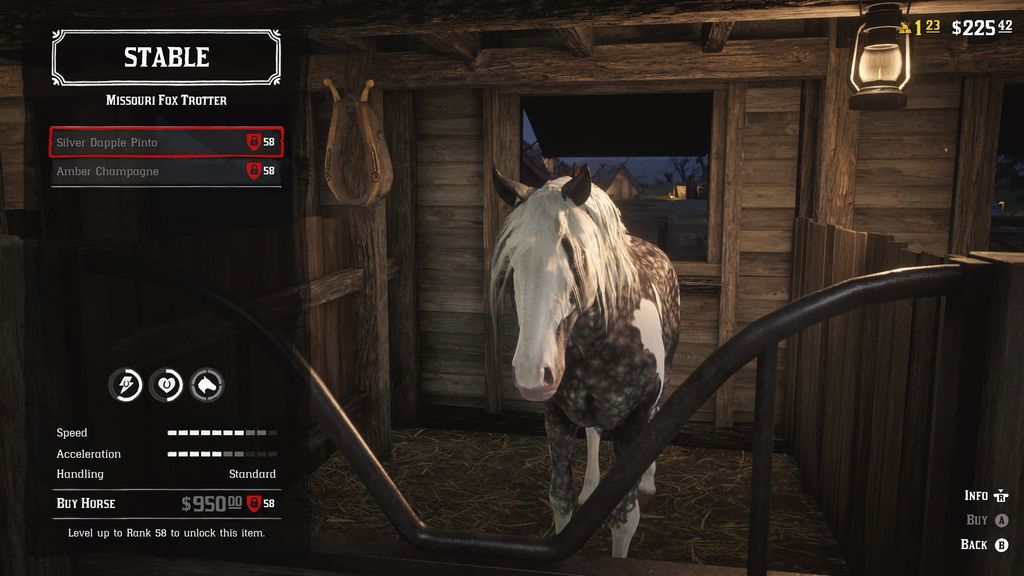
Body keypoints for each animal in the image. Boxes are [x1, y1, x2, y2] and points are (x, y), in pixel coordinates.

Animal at [489, 166, 681, 558]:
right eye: (512, 259)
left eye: (574, 254)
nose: (533, 374)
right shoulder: (557, 417)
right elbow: (561, 498)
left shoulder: (634, 421)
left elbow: (624, 517)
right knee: (593, 432)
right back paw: (592, 487)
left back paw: (648, 485)